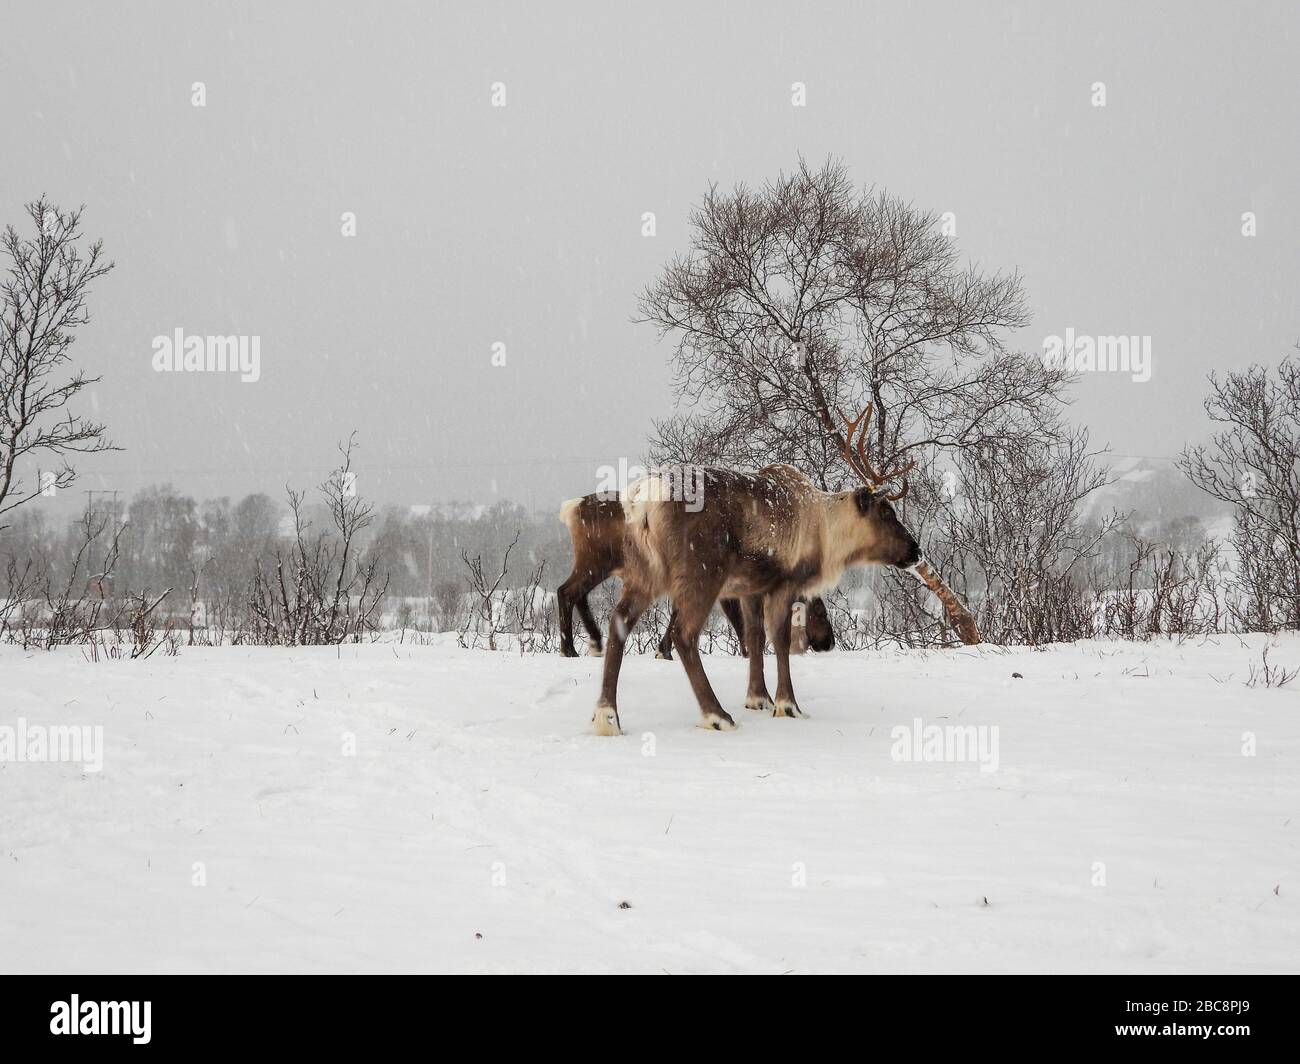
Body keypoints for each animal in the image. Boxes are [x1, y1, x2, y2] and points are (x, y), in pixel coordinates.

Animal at [557, 493, 833, 659]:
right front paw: (749, 652)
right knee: (566, 591)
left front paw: (663, 650)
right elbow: (735, 618)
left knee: (578, 594)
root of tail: (573, 509)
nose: (829, 642)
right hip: (597, 561)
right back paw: (569, 649)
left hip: (598, 564)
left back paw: (595, 643)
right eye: (820, 610)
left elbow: (676, 614)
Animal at [591, 404, 924, 735]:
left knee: (619, 620)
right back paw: (716, 714)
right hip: (702, 573)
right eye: (886, 512)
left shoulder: (749, 589)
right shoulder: (785, 582)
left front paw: (758, 698)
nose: (916, 551)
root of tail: (643, 504)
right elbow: (780, 638)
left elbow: (755, 637)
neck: (825, 532)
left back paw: (607, 716)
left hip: (643, 571)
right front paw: (787, 705)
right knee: (683, 633)